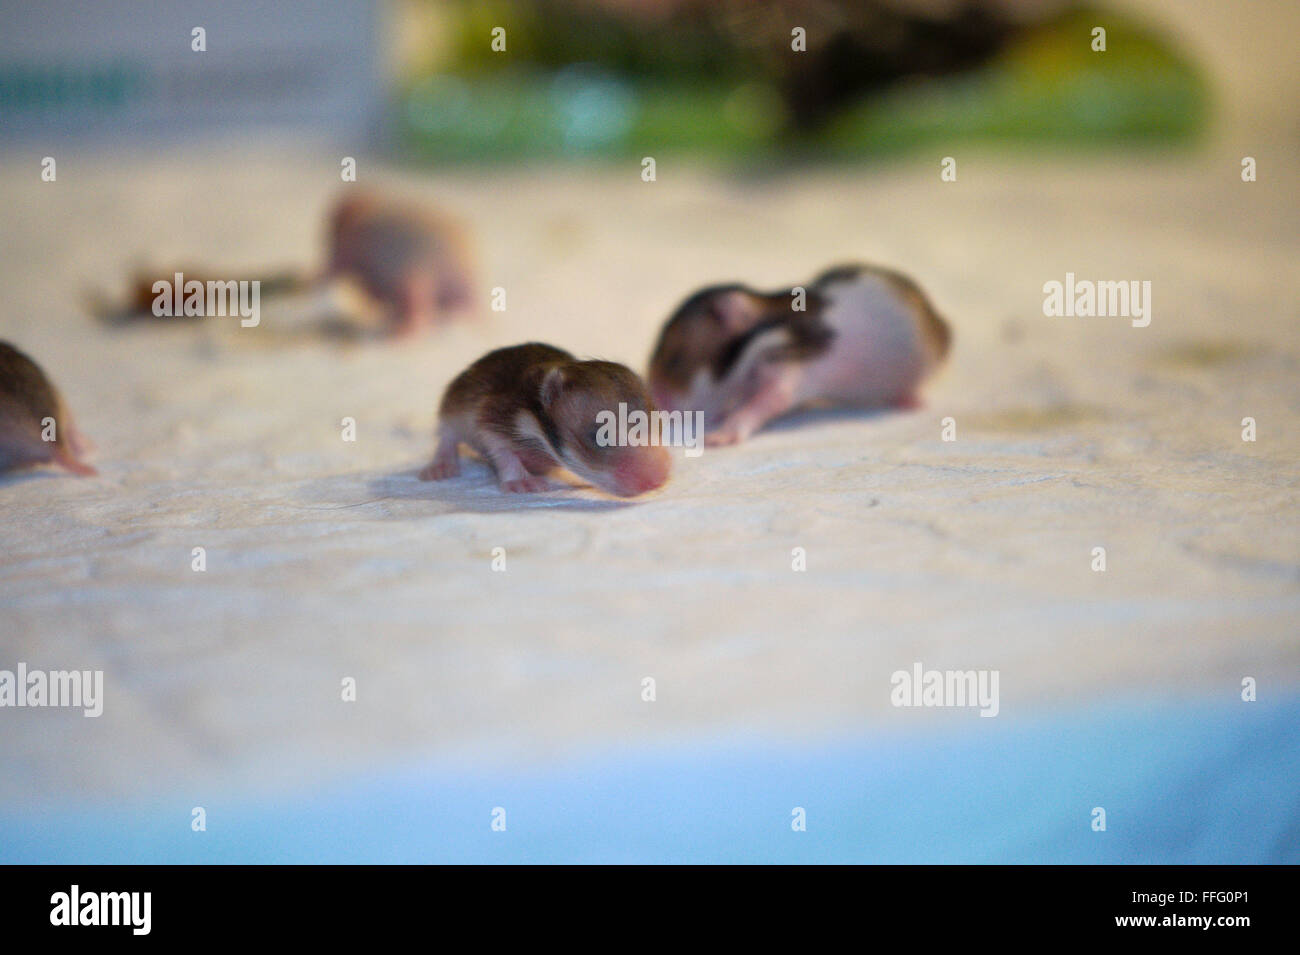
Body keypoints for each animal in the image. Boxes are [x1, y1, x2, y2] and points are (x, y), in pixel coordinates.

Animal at [420, 343, 671, 496]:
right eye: (601, 437)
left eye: (659, 424)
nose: (658, 480)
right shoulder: (498, 411)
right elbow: (499, 447)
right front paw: (521, 481)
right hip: (454, 402)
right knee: (447, 435)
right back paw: (441, 465)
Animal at [647, 263, 951, 445]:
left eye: (674, 360)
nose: (657, 403)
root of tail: (942, 322)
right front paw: (725, 413)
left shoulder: (787, 364)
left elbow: (767, 401)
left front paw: (723, 433)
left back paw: (909, 399)